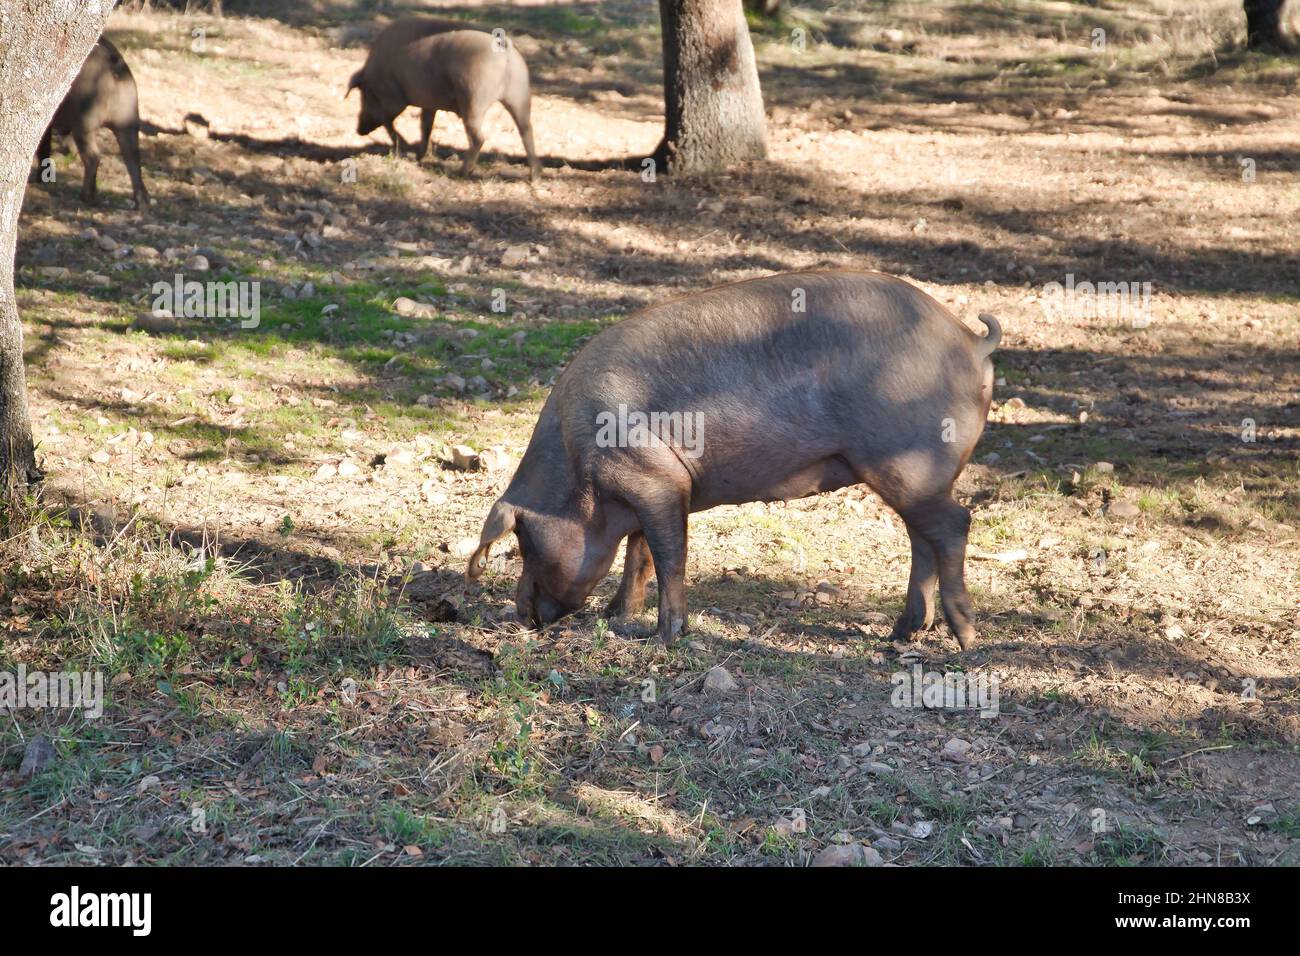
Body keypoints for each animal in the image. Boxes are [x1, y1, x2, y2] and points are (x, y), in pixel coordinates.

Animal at [36, 37, 149, 209]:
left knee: (93, 157)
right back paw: (142, 202)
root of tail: (112, 67)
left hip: (84, 127)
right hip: (127, 126)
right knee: (133, 159)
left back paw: (86, 196)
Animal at [347, 17, 541, 181]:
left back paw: (461, 173)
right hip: (520, 95)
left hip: (474, 99)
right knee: (527, 131)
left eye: (364, 95)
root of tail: (505, 49)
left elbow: (389, 122)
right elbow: (425, 125)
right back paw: (535, 177)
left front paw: (406, 150)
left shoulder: (393, 98)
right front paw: (420, 155)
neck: (374, 75)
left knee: (479, 138)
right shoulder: (429, 102)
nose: (358, 129)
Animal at [466, 270, 1000, 650]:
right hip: (913, 475)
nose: (522, 616)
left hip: (907, 461)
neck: (578, 473)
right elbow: (640, 554)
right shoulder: (649, 491)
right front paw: (614, 616)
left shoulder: (656, 479)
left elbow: (668, 556)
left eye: (524, 544)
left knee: (954, 524)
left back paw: (965, 640)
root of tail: (969, 339)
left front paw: (663, 638)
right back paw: (903, 633)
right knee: (922, 537)